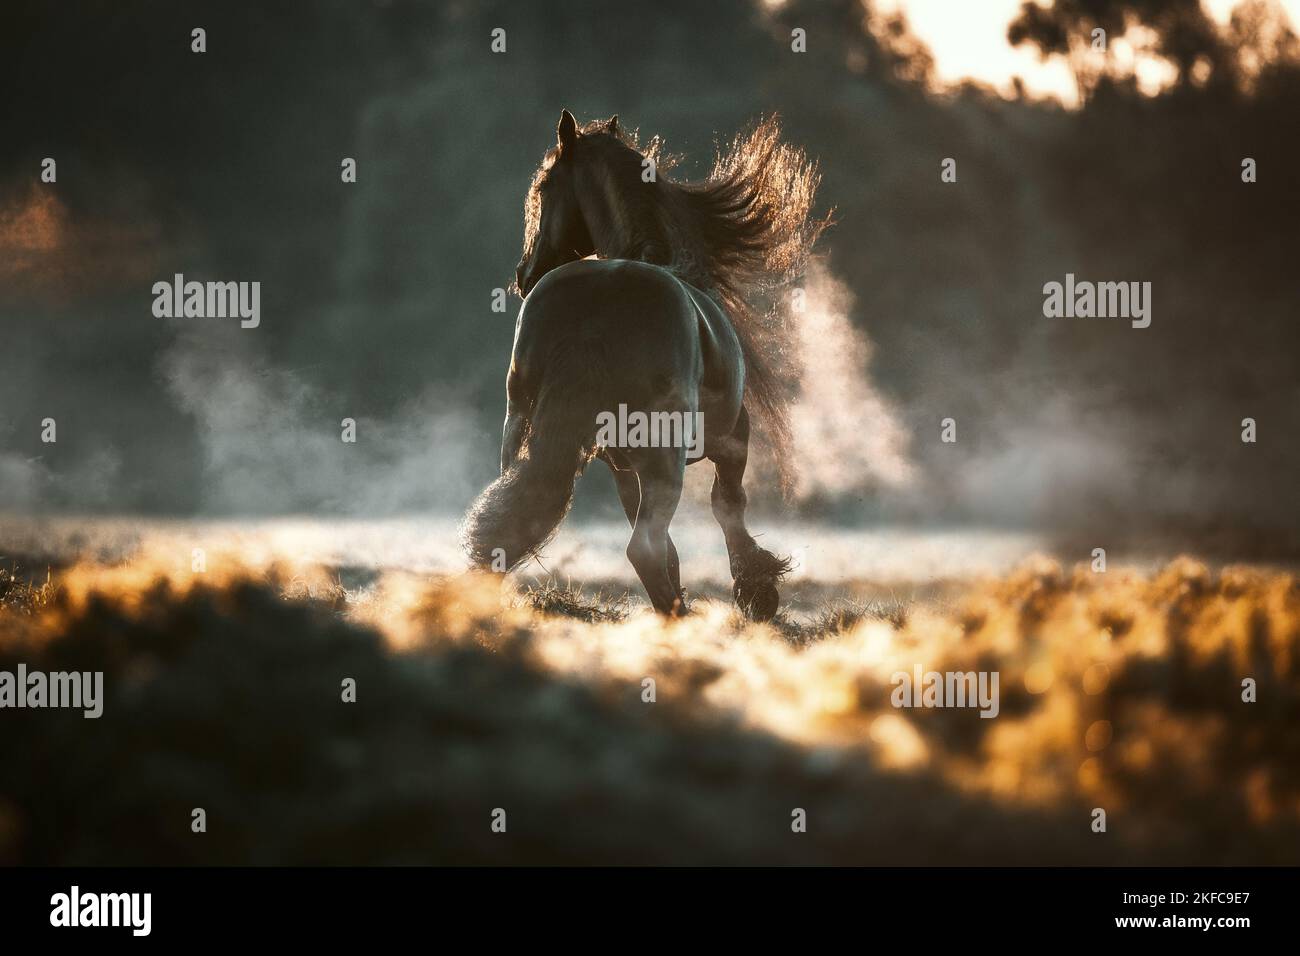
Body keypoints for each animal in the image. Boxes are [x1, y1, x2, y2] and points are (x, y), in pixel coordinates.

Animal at [461, 109, 826, 620]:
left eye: (542, 187)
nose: (522, 274)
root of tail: (598, 302)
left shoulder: (620, 466)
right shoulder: (734, 437)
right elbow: (727, 505)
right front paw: (756, 588)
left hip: (520, 432)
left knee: (511, 523)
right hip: (663, 454)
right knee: (644, 547)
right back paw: (678, 616)